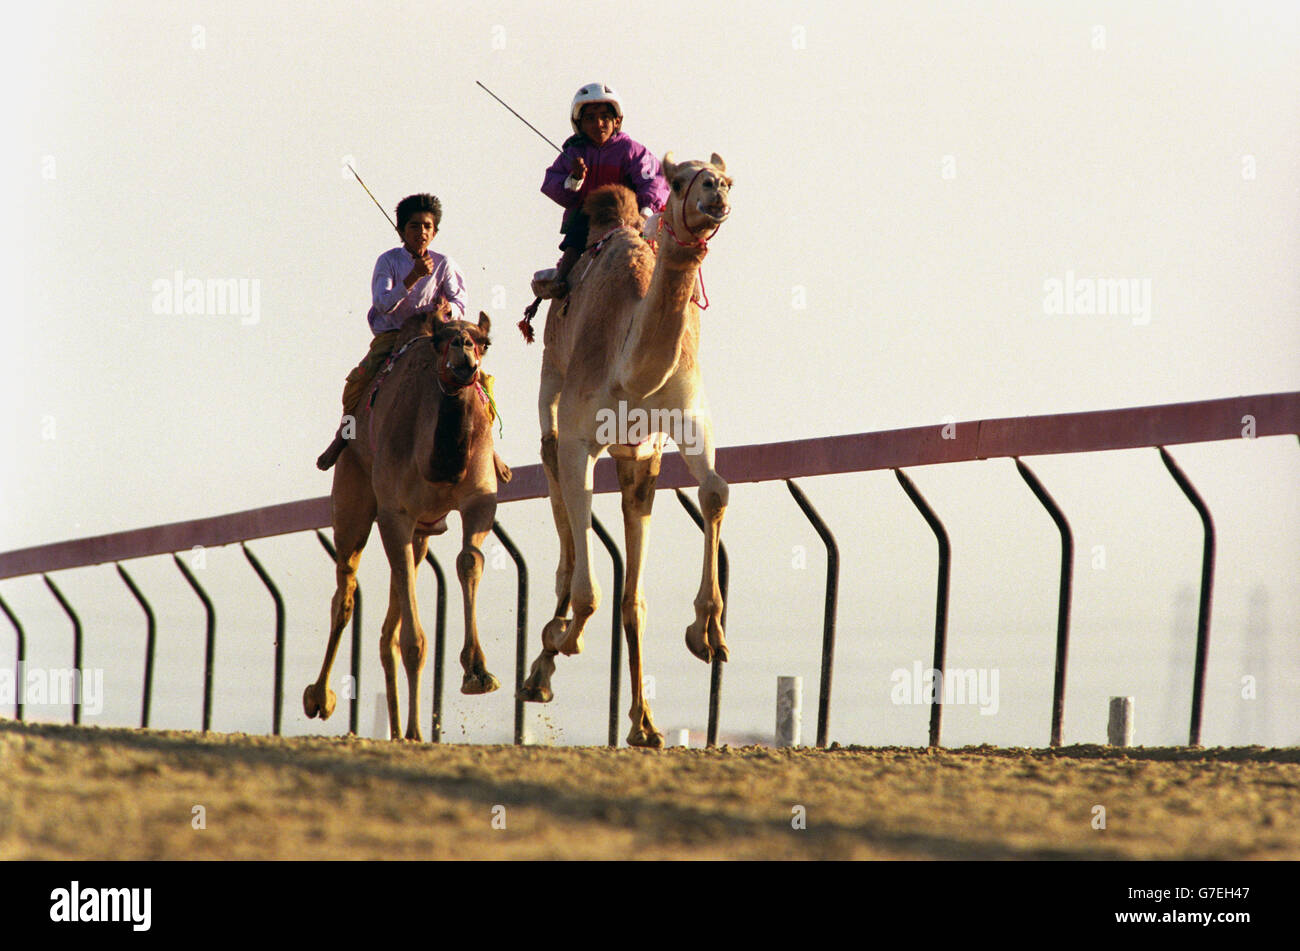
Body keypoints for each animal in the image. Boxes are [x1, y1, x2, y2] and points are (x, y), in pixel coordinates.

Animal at [303, 310, 505, 741]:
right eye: (441, 340)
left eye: (485, 341)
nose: (464, 351)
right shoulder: (394, 513)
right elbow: (414, 636)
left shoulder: (479, 499)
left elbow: (469, 561)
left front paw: (477, 671)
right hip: (353, 492)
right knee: (346, 591)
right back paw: (319, 697)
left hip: (423, 531)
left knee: (387, 628)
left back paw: (401, 729)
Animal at [519, 153, 733, 748]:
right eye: (680, 181)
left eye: (727, 179)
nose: (715, 192)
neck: (633, 368)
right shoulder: (580, 438)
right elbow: (588, 582)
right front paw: (565, 638)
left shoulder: (685, 420)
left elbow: (715, 491)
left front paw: (707, 633)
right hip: (552, 388)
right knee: (553, 480)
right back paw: (545, 657)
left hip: (637, 460)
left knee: (632, 594)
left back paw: (643, 724)